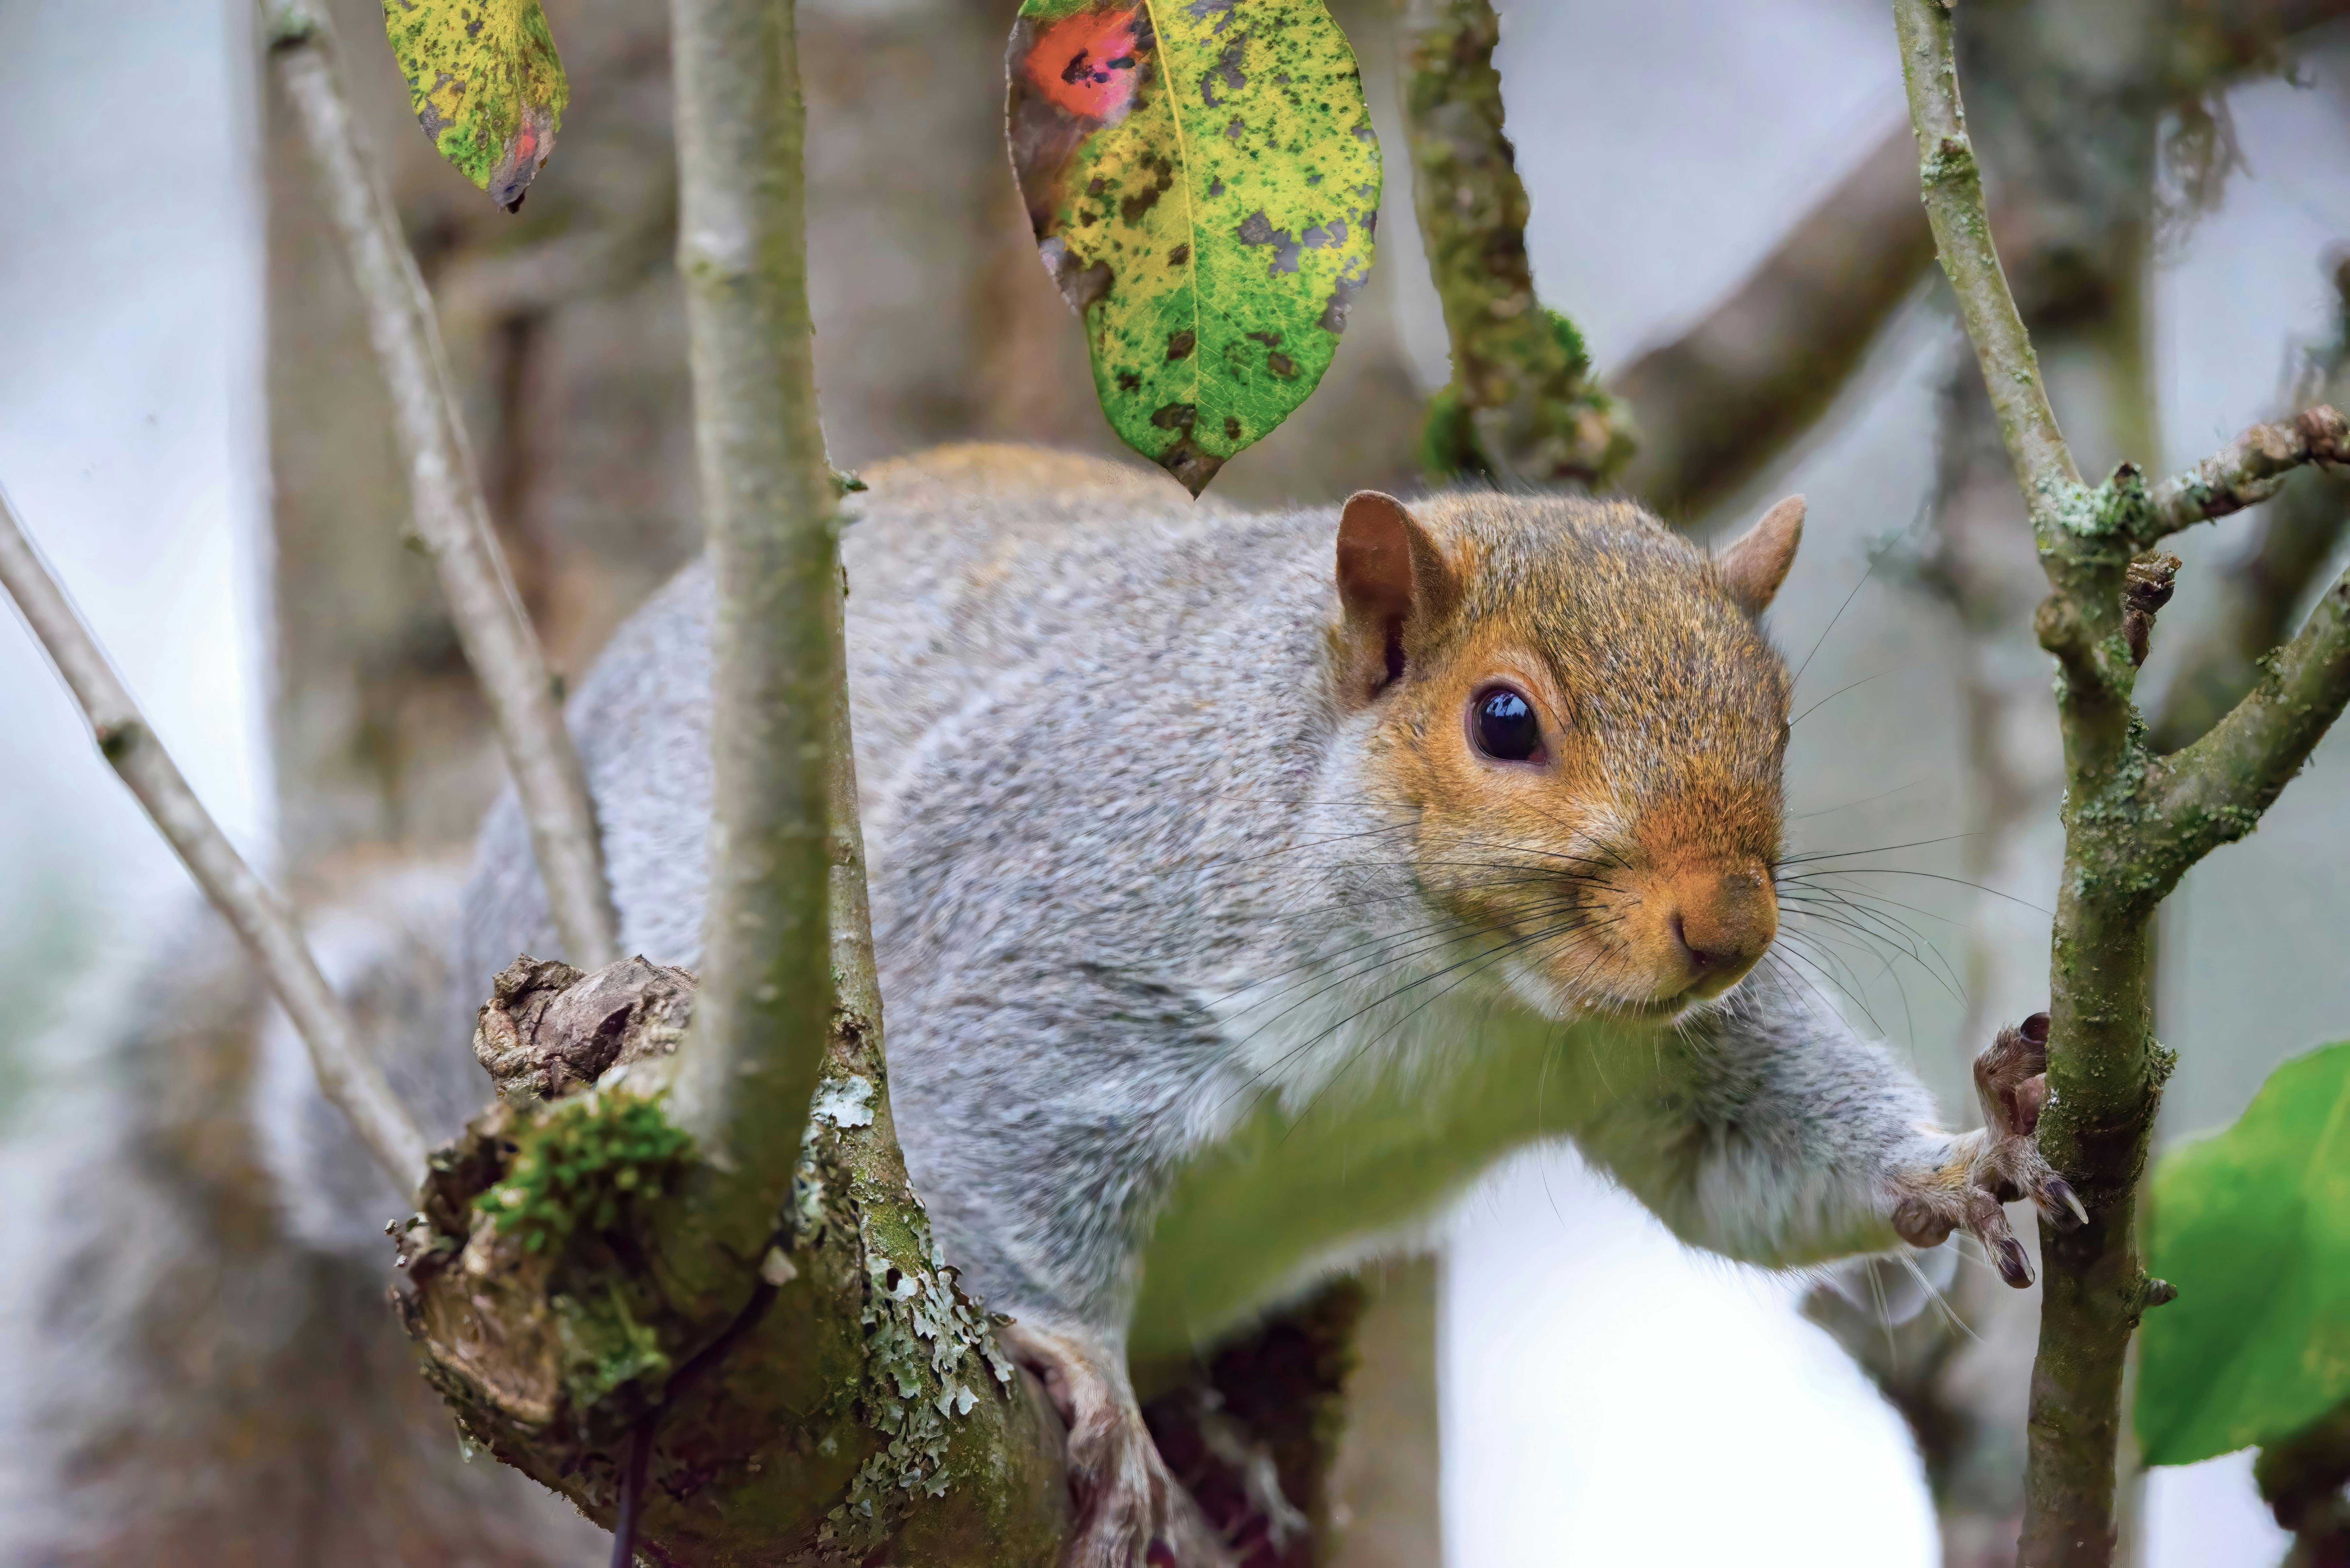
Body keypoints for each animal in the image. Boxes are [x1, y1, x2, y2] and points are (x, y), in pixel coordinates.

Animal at [440, 443, 2081, 1568]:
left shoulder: (1667, 1053)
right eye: (1504, 719)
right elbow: (1002, 1153)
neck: (1465, 999)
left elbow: (1759, 1158)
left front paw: (1966, 1162)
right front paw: (1095, 1385)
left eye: (1781, 719)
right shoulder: (1048, 950)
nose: (1729, 927)